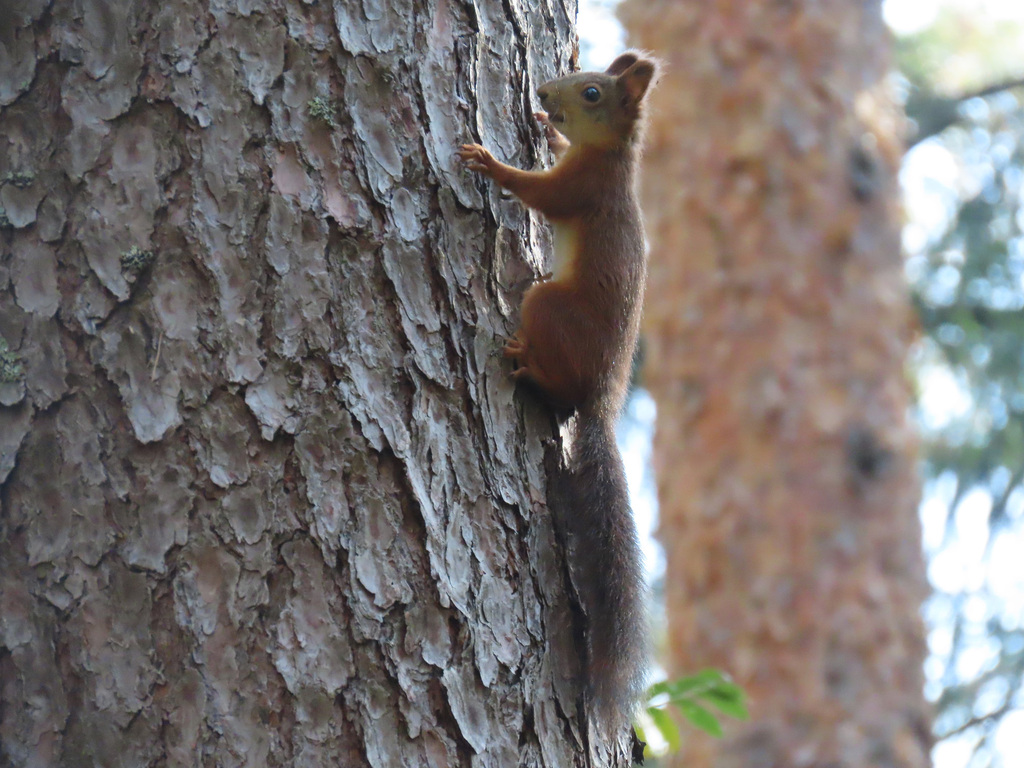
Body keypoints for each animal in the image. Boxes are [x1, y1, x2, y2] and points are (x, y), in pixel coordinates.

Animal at [458, 52, 658, 731]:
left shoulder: (581, 189)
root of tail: (601, 398)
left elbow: (540, 193)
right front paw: (546, 129)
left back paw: (526, 367)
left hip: (548, 306)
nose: (543, 93)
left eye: (592, 92)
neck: (614, 157)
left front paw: (489, 161)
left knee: (557, 385)